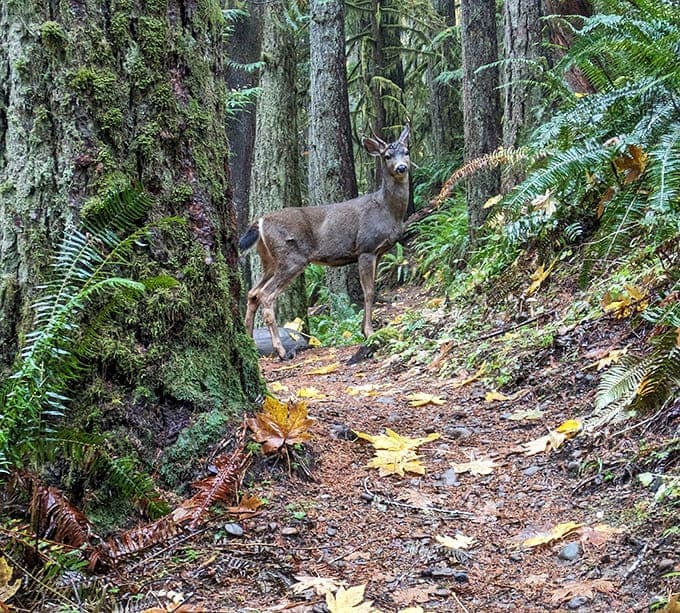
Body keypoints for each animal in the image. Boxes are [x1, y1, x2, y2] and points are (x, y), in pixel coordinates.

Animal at [239, 124, 411, 359]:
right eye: (387, 156)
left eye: (407, 151)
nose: (402, 167)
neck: (388, 210)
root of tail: (260, 221)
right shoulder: (366, 248)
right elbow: (368, 292)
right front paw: (369, 331)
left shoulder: (379, 251)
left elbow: (372, 290)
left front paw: (365, 329)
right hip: (291, 258)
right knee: (266, 295)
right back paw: (281, 350)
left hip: (270, 260)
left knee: (253, 293)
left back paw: (250, 343)